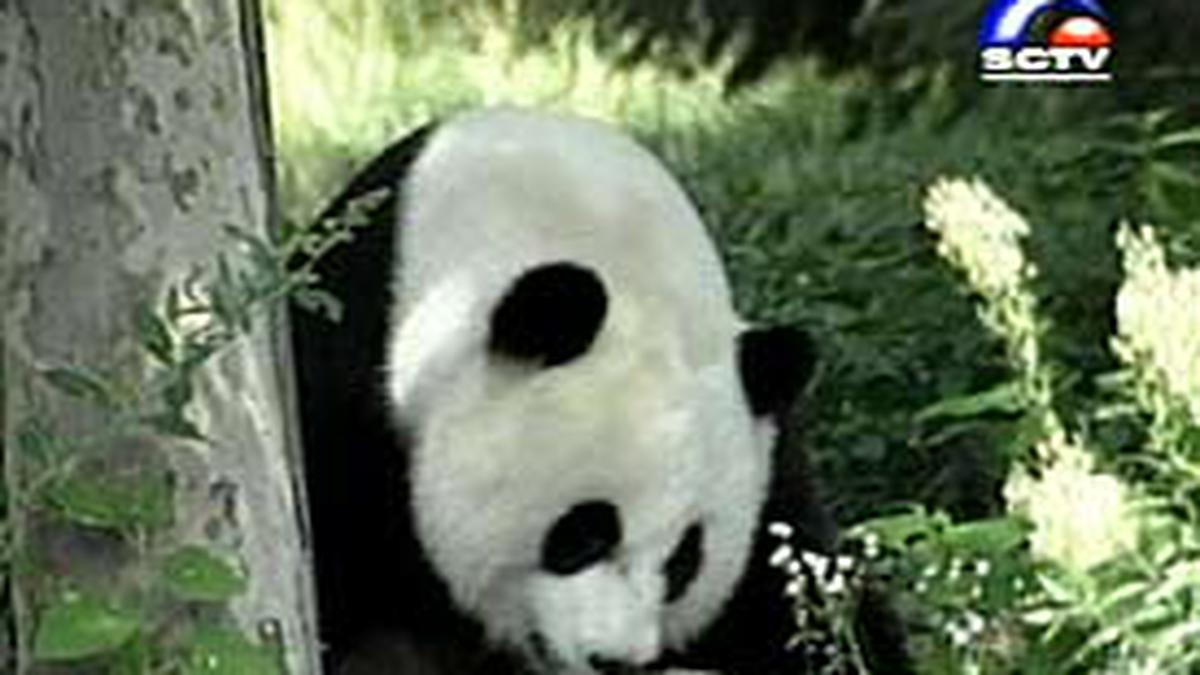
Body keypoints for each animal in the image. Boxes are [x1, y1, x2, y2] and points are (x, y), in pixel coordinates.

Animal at [291, 107, 910, 674]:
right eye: (582, 534)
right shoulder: (354, 388)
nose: (614, 660)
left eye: (684, 560)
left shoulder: (769, 456)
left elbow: (802, 591)